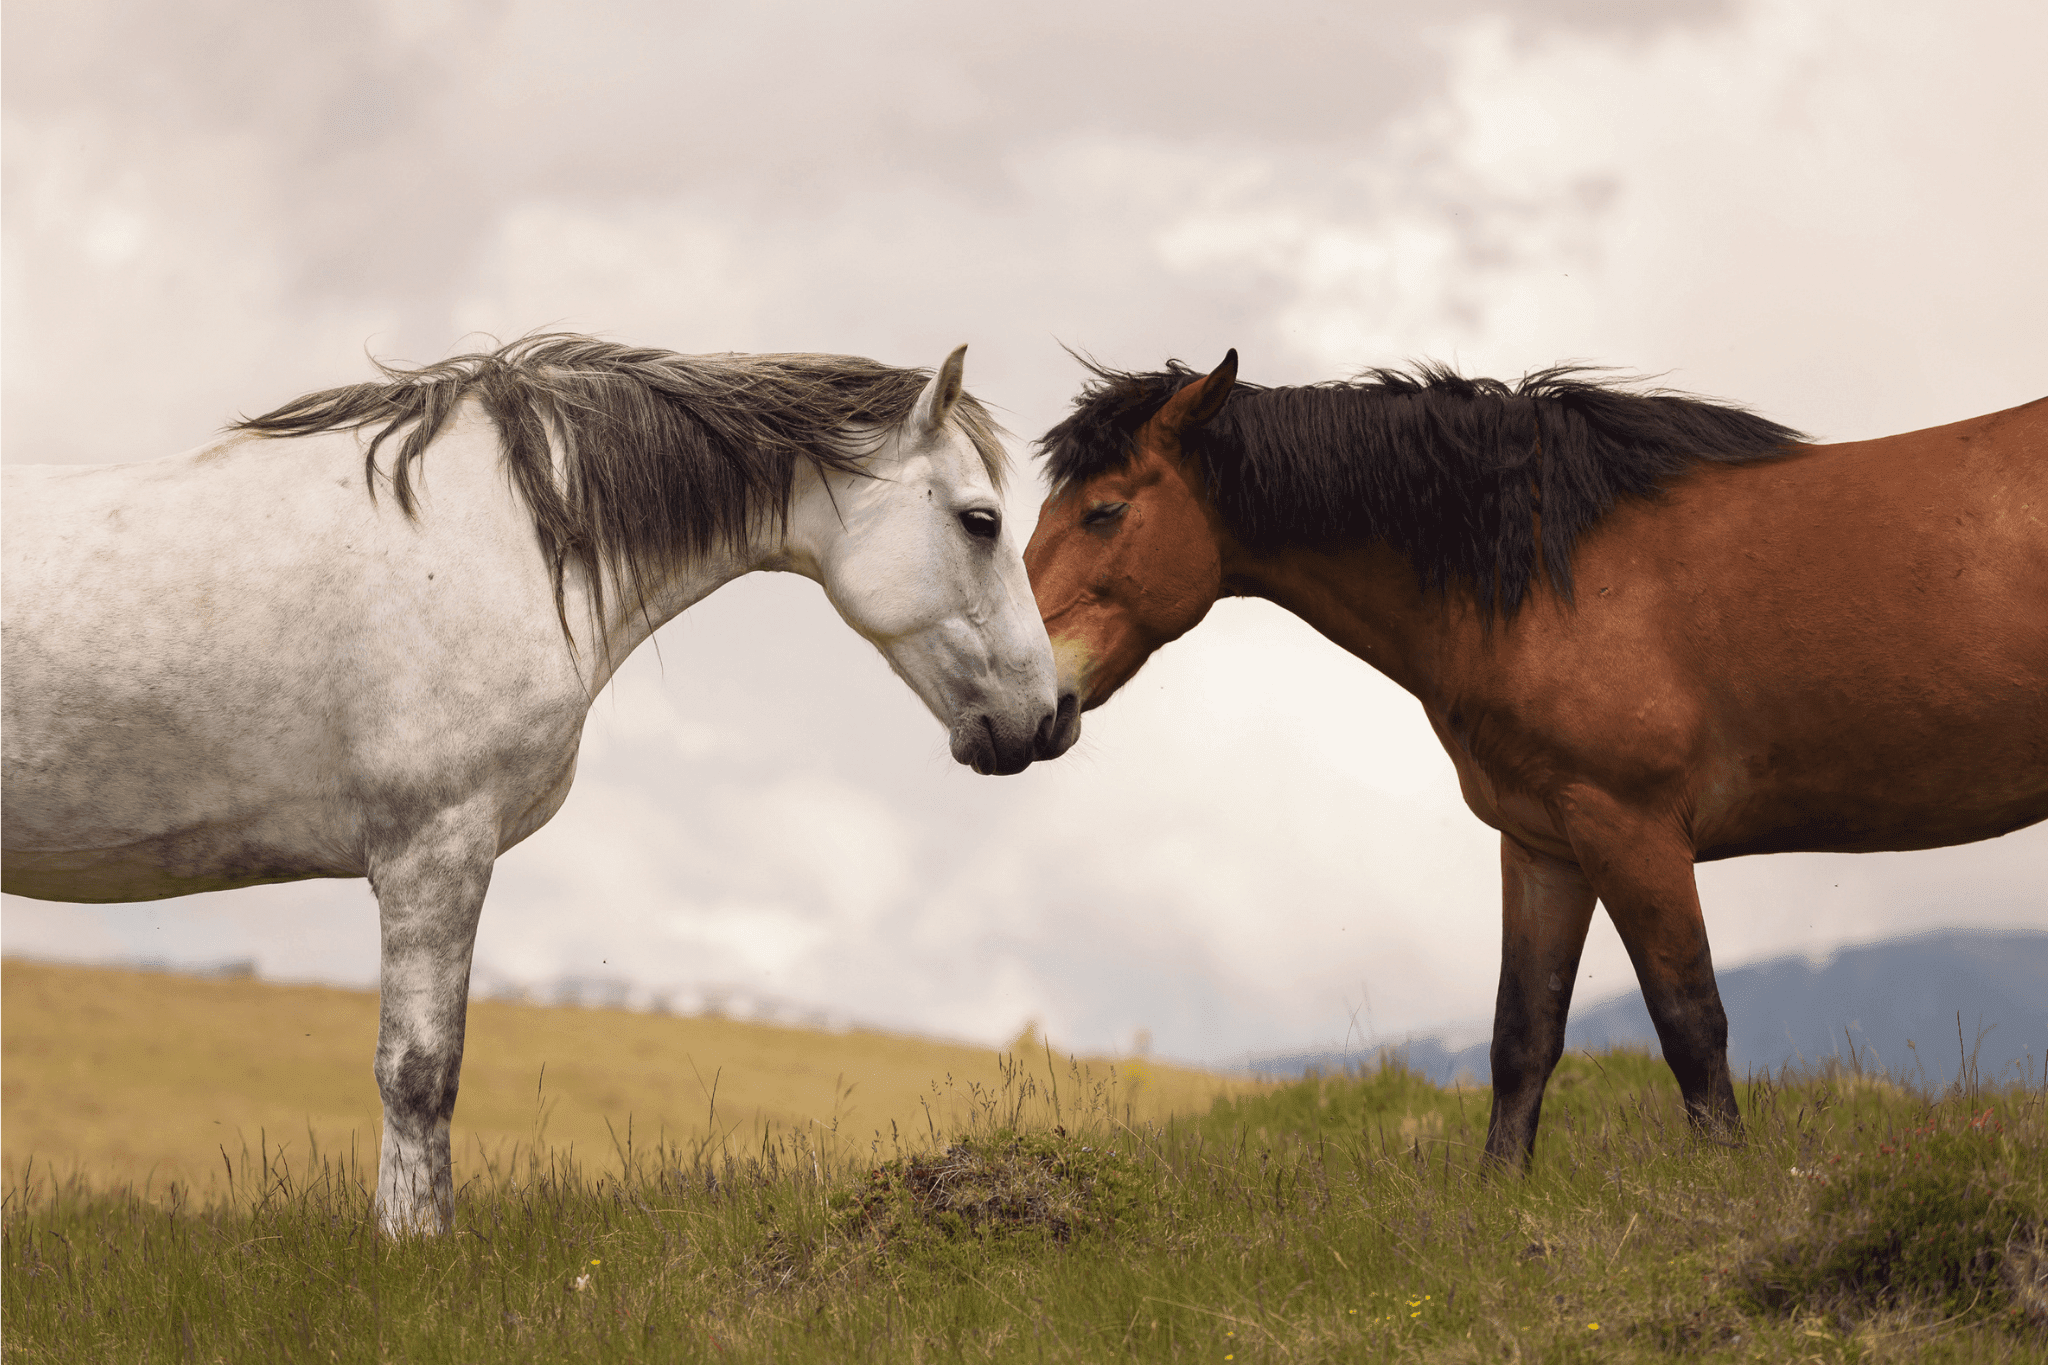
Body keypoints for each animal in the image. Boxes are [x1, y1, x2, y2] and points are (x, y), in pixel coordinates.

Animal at [2, 334, 1061, 1233]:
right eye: (981, 521)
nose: (1045, 718)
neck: (497, 538)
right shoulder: (435, 850)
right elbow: (420, 1071)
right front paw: (413, 1244)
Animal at [1023, 349, 2047, 1166]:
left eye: (1105, 510)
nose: (1026, 702)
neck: (1547, 574)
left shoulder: (1632, 831)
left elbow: (1692, 1024)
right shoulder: (1547, 844)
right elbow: (1522, 1035)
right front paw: (1498, 1196)